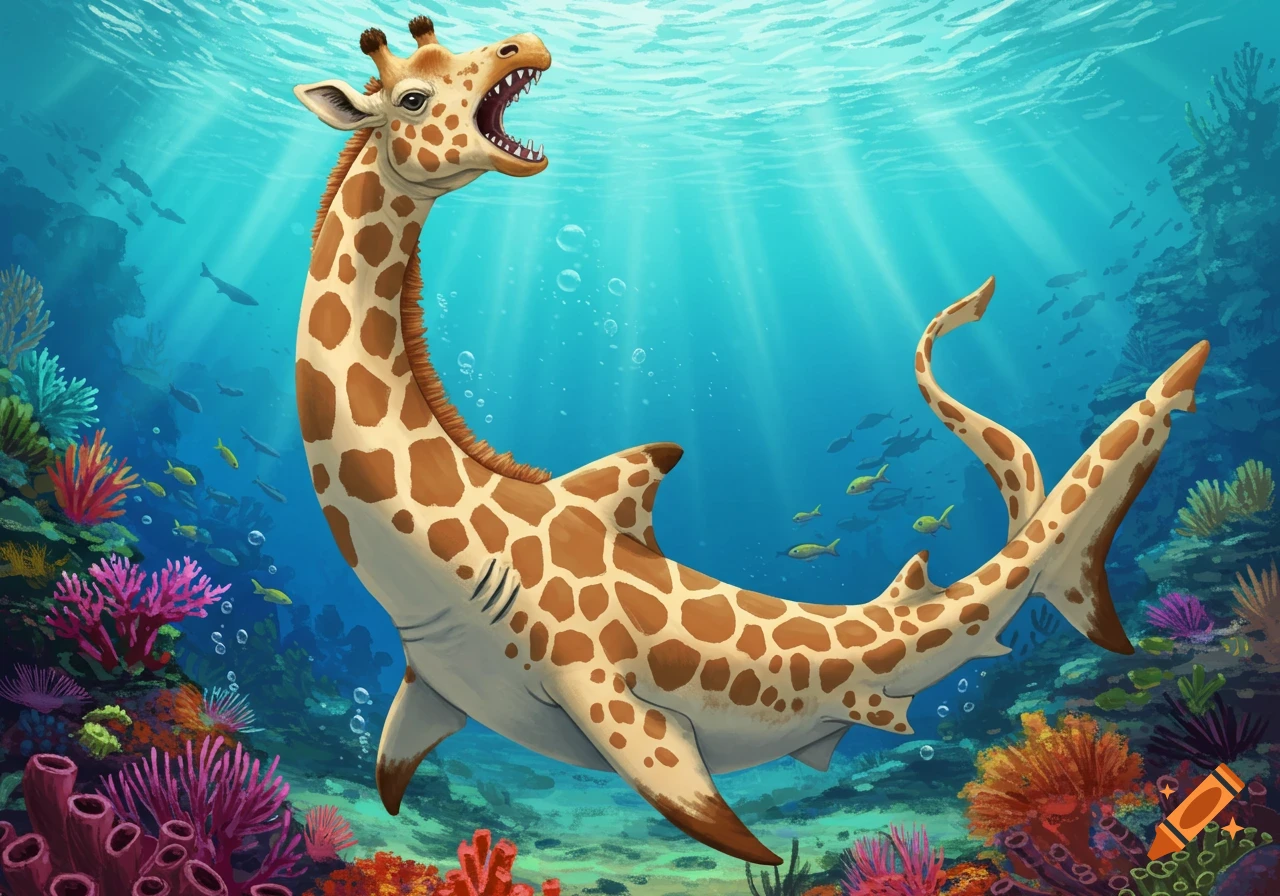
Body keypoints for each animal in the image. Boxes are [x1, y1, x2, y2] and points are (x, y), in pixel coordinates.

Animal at [292, 17, 1212, 867]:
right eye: (411, 95)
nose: (522, 42)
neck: (449, 573)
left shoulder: (600, 685)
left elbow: (693, 801)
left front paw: (754, 852)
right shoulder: (430, 682)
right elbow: (393, 757)